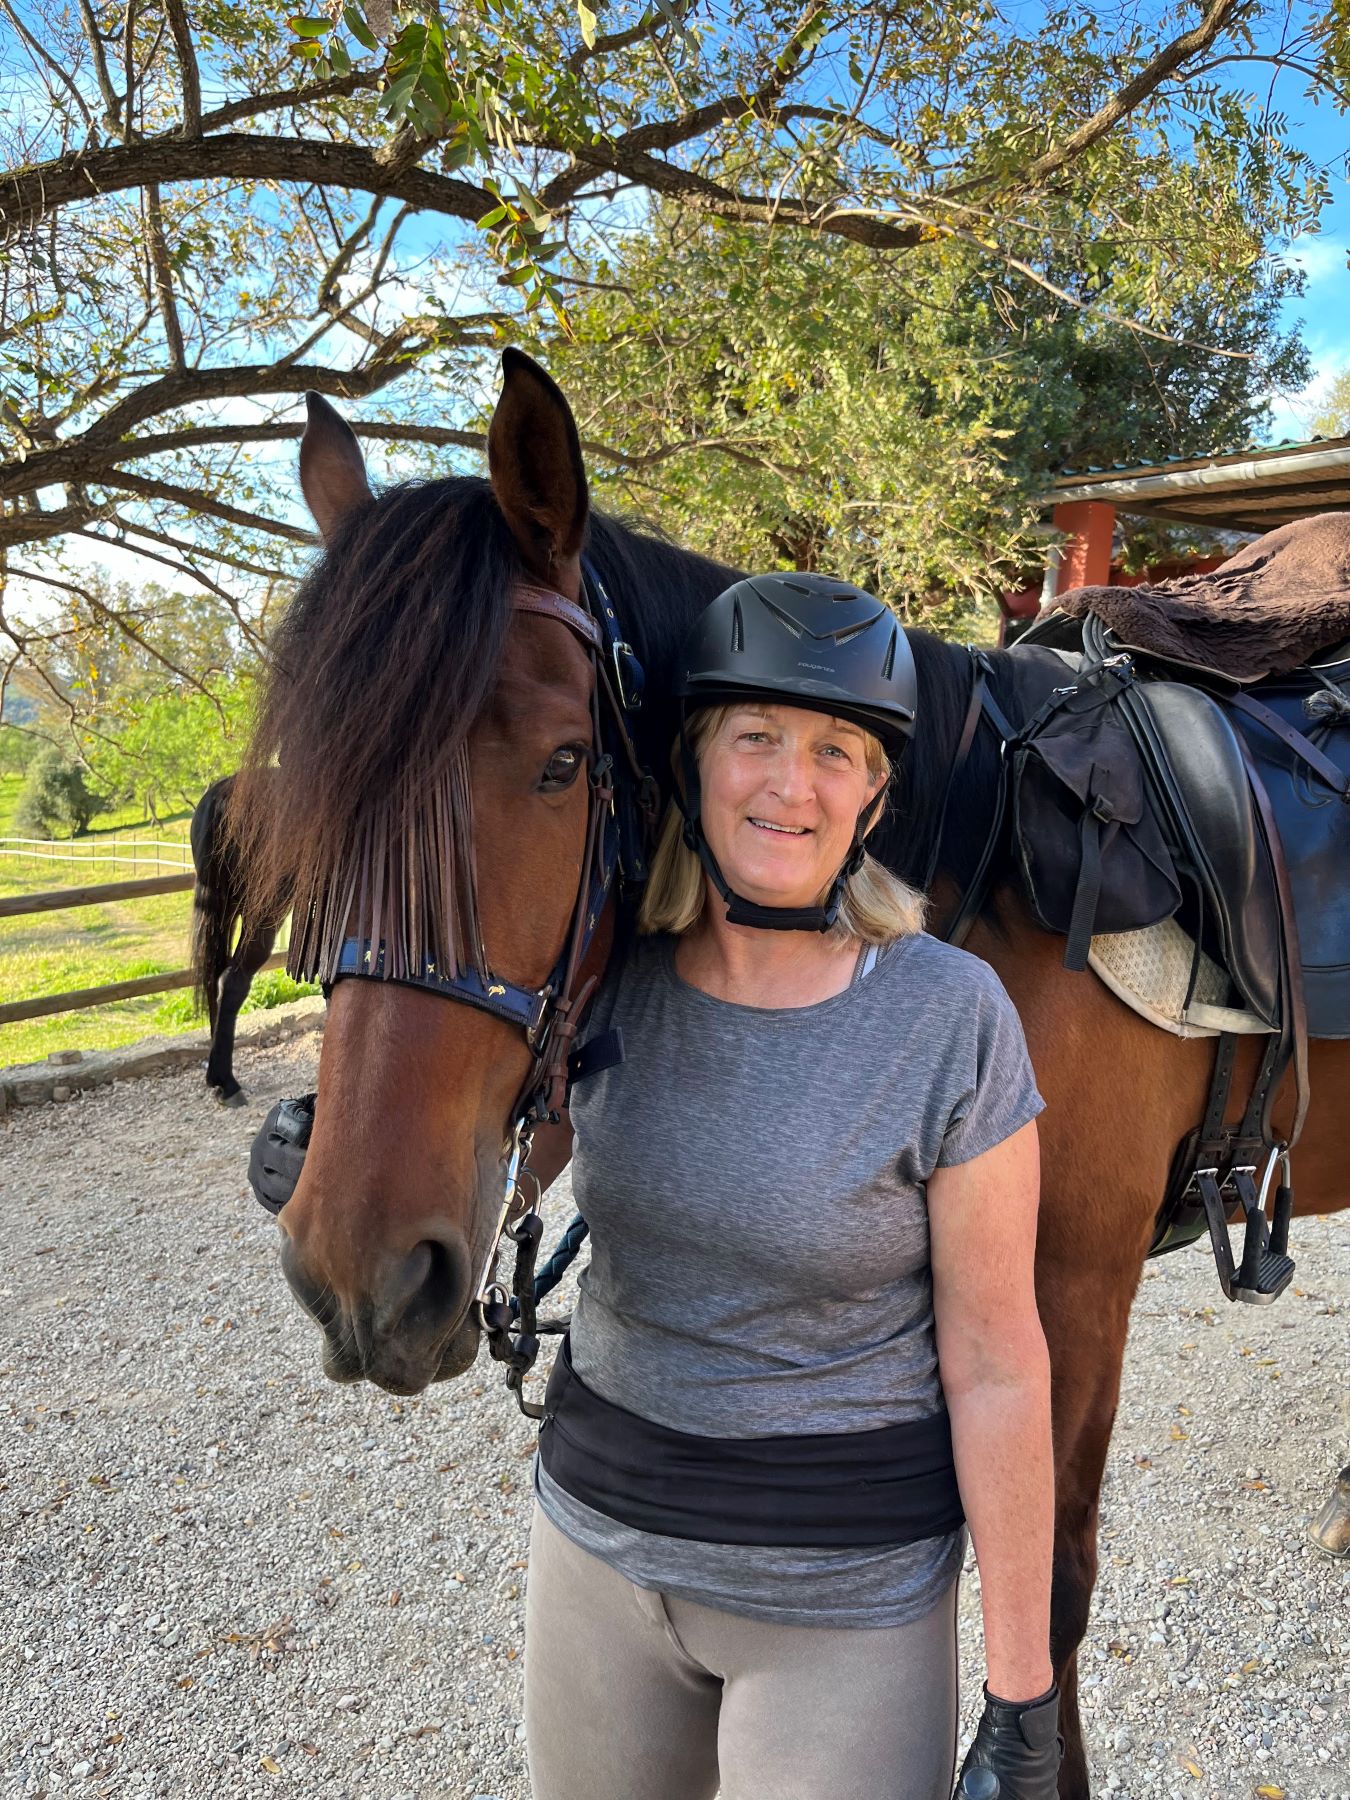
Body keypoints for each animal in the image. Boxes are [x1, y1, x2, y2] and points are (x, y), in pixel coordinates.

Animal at [227, 350, 1347, 1798]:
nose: (359, 1270)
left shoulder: (1066, 1286)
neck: (981, 870)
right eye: (316, 791)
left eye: (563, 763)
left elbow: (1047, 1584)